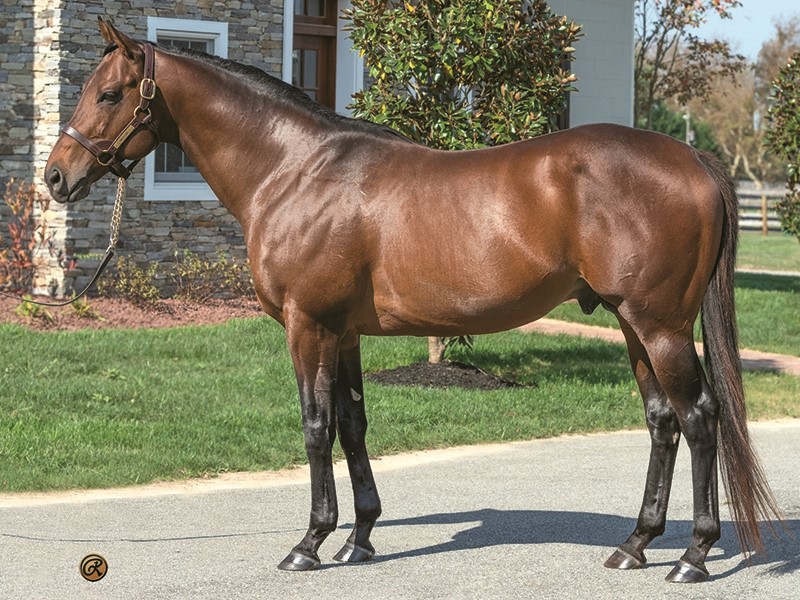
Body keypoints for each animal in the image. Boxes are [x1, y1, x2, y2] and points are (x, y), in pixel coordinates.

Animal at [45, 18, 780, 582]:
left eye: (108, 93)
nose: (56, 177)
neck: (295, 172)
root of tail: (693, 159)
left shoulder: (307, 326)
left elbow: (316, 428)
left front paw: (309, 544)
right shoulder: (343, 332)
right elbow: (353, 424)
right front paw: (359, 538)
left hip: (659, 325)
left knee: (700, 418)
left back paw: (693, 555)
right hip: (632, 324)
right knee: (662, 421)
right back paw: (635, 545)